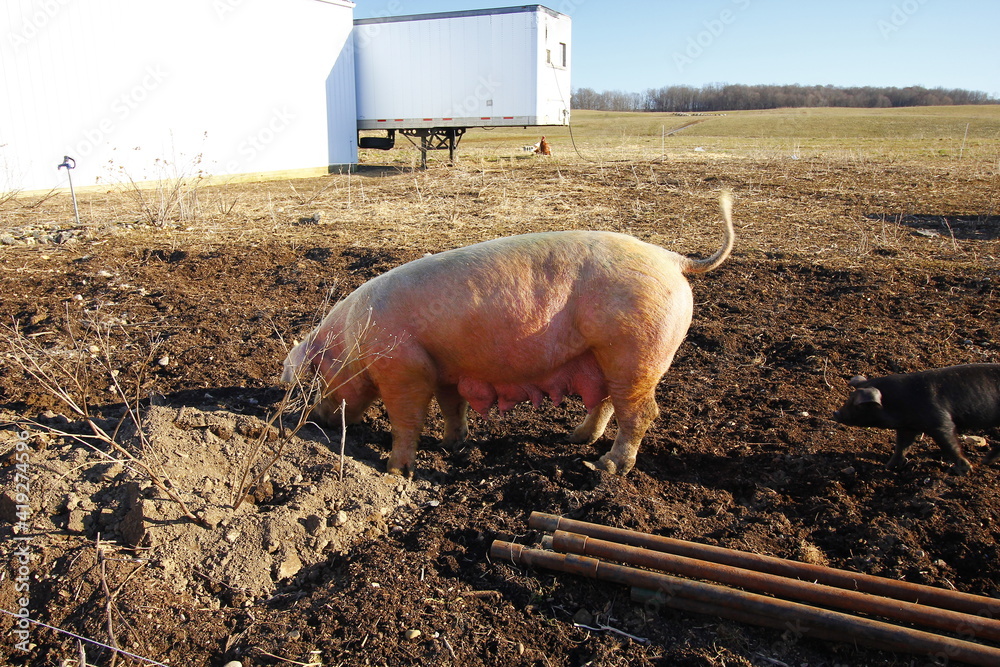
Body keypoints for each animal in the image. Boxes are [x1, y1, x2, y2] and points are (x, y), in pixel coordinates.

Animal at [282, 192, 735, 477]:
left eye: (318, 375)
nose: (316, 418)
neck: (355, 340)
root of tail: (672, 258)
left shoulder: (405, 369)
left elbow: (407, 420)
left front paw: (397, 471)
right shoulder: (444, 368)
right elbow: (453, 408)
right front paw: (451, 445)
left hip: (636, 352)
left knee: (641, 414)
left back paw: (605, 468)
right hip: (605, 356)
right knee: (607, 402)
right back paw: (576, 437)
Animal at [832, 364, 1000, 475]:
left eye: (856, 404)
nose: (835, 413)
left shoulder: (940, 422)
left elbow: (950, 444)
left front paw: (966, 471)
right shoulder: (908, 427)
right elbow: (902, 446)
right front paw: (888, 467)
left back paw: (984, 462)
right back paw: (986, 461)